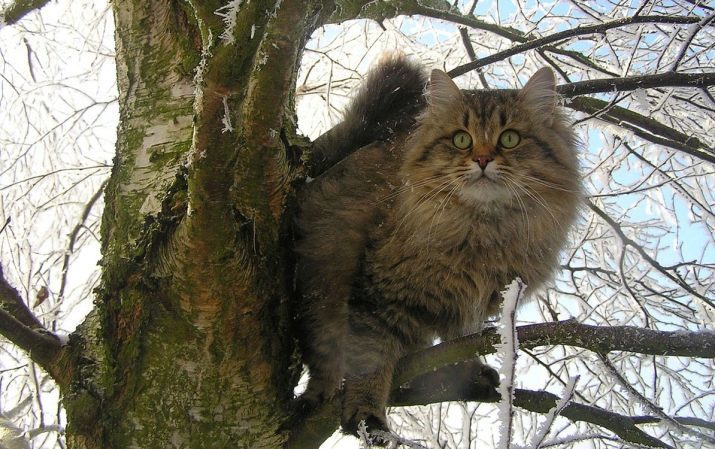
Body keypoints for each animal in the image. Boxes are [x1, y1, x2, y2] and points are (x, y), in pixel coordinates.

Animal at [294, 54, 584, 436]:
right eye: (461, 139)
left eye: (509, 139)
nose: (482, 160)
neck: (482, 233)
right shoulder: (377, 295)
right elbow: (370, 360)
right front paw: (366, 414)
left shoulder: (468, 306)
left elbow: (458, 345)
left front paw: (469, 371)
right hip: (321, 288)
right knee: (324, 362)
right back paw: (320, 397)